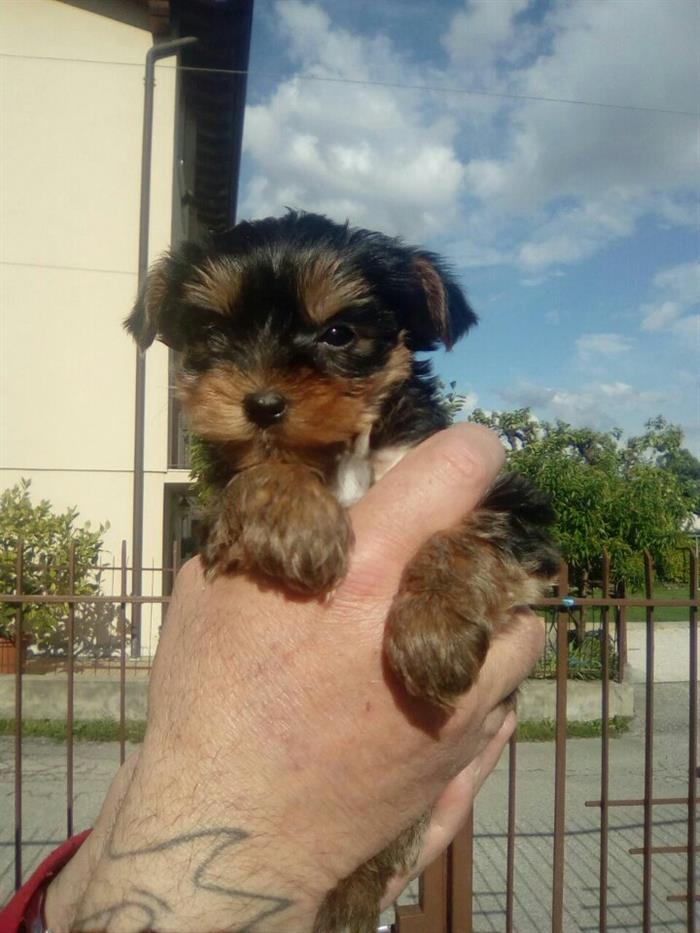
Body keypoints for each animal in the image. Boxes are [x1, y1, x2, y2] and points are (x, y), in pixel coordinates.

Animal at [126, 211, 560, 932]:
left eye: (339, 334)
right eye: (213, 334)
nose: (262, 403)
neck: (341, 455)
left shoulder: (512, 511)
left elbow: (465, 538)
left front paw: (434, 635)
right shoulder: (211, 515)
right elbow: (252, 474)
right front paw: (303, 521)